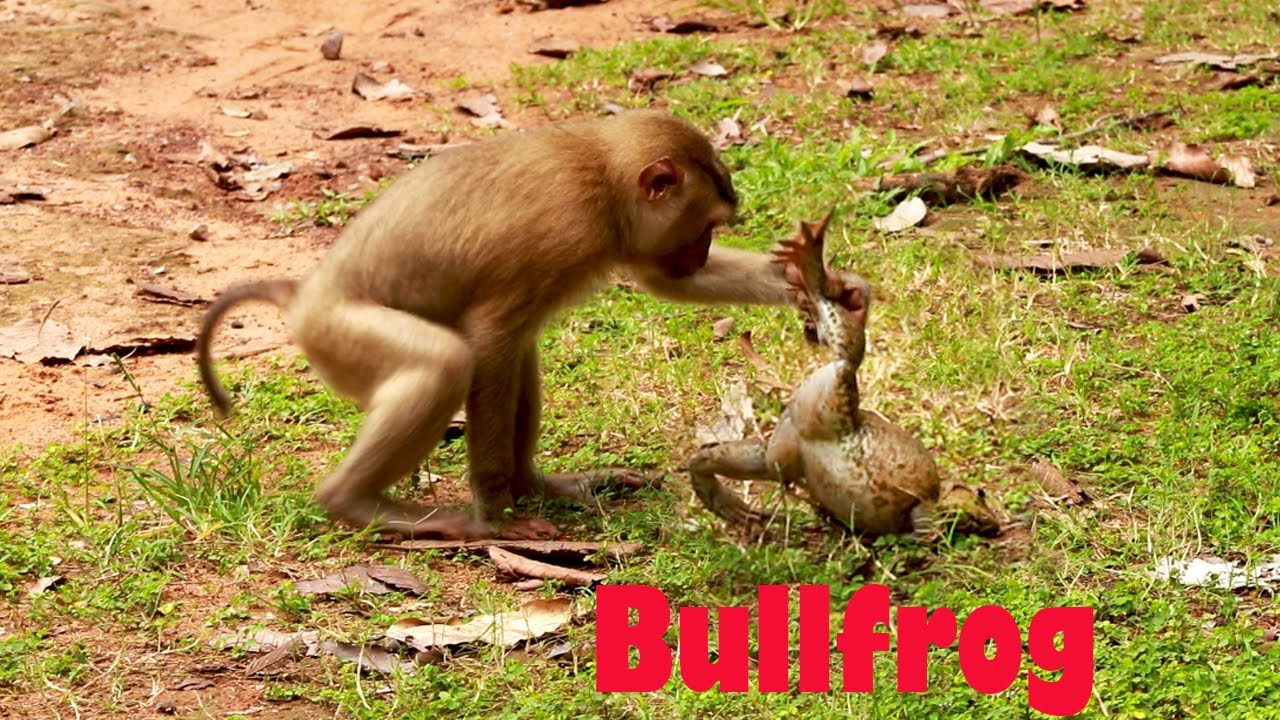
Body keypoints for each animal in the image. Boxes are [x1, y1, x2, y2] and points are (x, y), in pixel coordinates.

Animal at [198, 110, 865, 540]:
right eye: (703, 227)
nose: (700, 253)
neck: (601, 179)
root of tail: (305, 295)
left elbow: (661, 287)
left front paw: (828, 286)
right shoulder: (562, 229)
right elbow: (488, 339)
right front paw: (497, 506)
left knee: (521, 354)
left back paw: (540, 483)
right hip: (340, 337)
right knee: (452, 360)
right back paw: (360, 504)